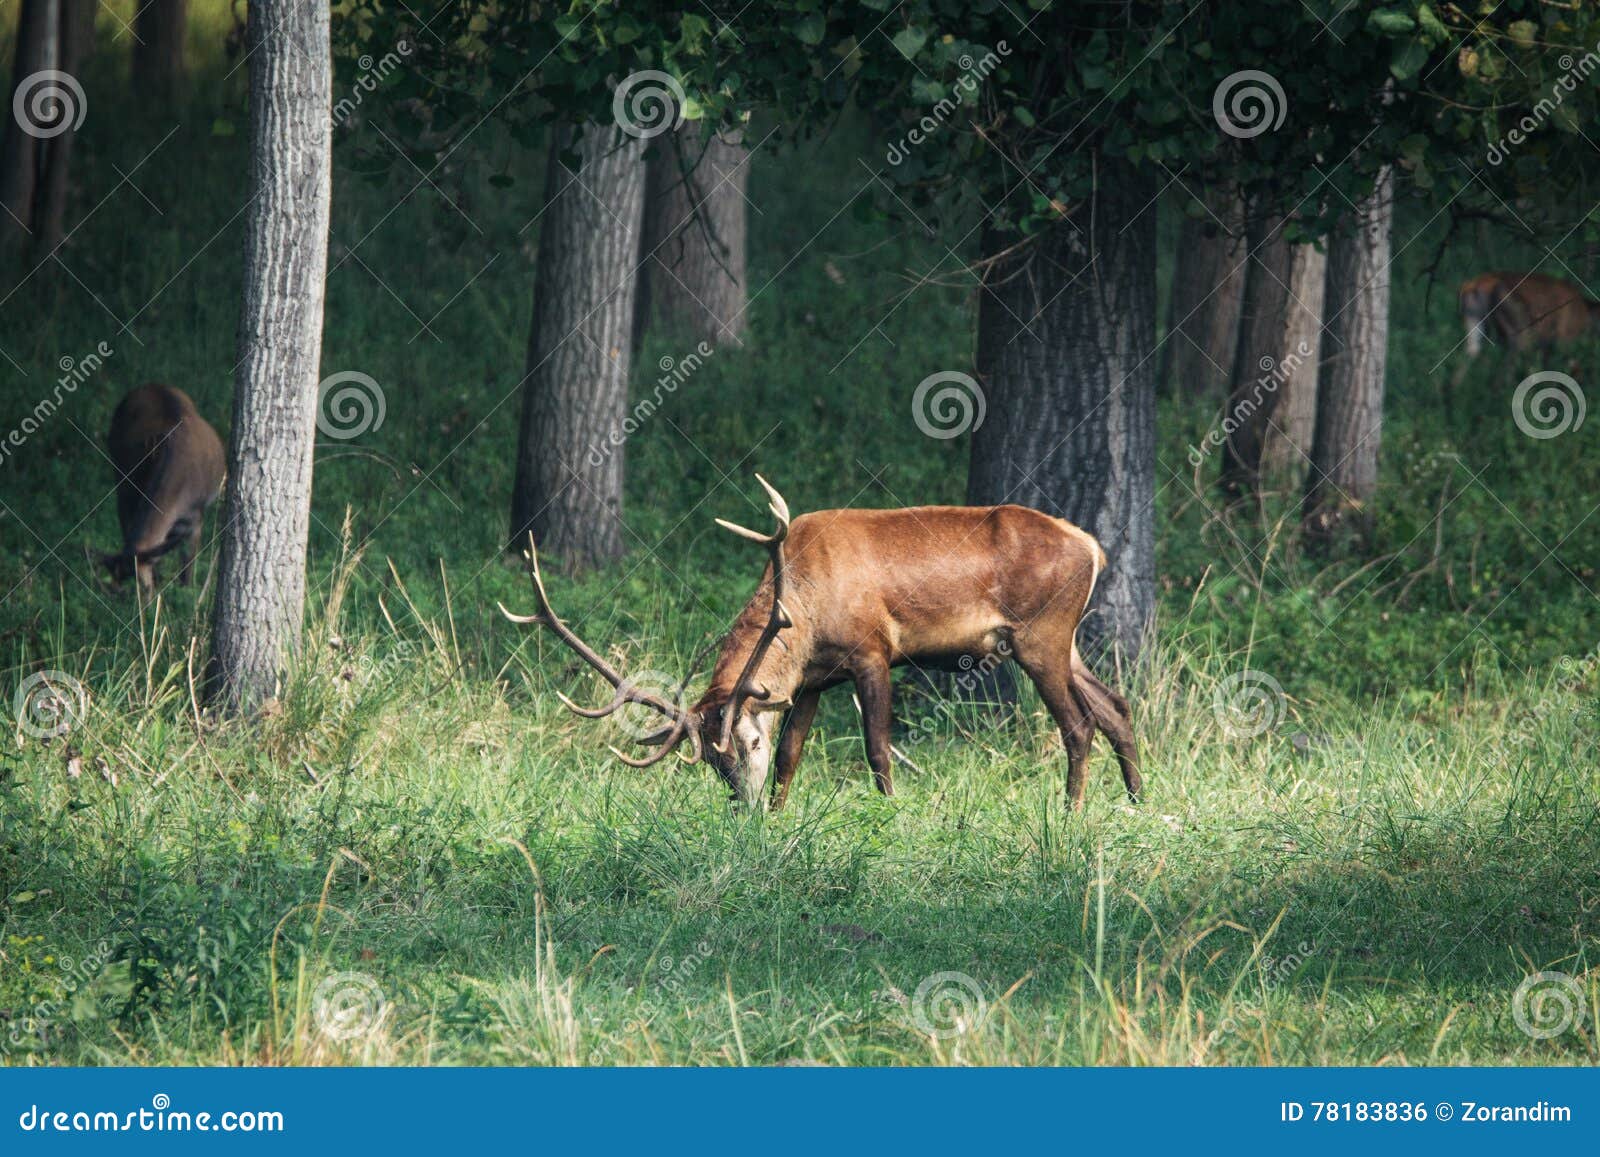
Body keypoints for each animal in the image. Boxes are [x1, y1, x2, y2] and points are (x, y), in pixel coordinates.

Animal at [100, 384, 225, 593]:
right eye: (114, 579)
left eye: (145, 587)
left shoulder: (196, 517)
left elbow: (188, 564)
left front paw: (187, 592)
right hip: (119, 476)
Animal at [500, 476, 1140, 812]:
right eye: (711, 761)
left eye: (746, 743)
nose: (742, 809)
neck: (803, 610)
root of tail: (1092, 547)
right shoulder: (810, 679)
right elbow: (794, 754)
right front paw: (778, 819)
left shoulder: (874, 651)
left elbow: (876, 749)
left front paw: (890, 814)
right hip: (1066, 640)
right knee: (1116, 705)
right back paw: (1137, 800)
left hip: (1041, 634)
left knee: (1078, 723)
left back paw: (1071, 813)